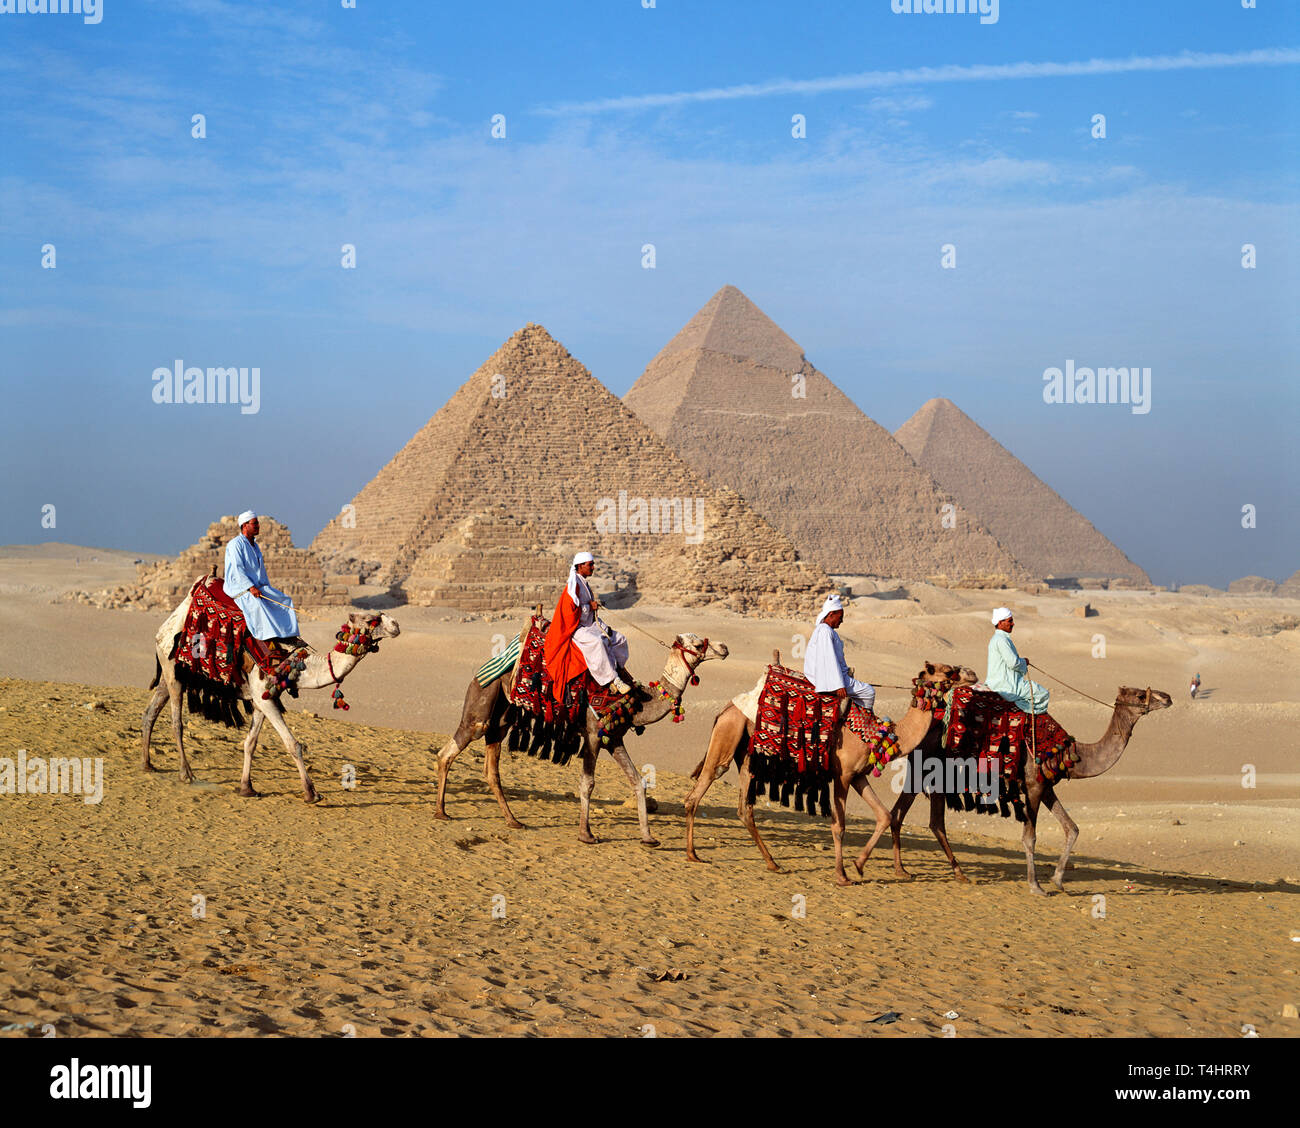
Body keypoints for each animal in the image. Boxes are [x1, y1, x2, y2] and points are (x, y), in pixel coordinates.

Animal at [141, 590, 400, 802]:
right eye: (371, 619)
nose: (396, 625)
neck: (294, 662)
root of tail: (165, 627)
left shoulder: (262, 699)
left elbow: (250, 743)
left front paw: (246, 788)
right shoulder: (264, 695)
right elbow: (293, 744)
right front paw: (311, 793)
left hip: (172, 672)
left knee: (150, 713)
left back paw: (147, 763)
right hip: (173, 673)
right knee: (176, 723)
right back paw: (186, 773)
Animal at [434, 631, 728, 846]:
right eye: (698, 643)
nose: (724, 647)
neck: (637, 701)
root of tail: (484, 669)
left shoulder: (614, 738)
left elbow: (637, 781)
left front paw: (648, 837)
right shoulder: (593, 735)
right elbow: (588, 783)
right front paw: (586, 834)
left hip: (502, 719)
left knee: (492, 769)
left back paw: (513, 820)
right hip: (482, 704)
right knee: (449, 751)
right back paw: (441, 812)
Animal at [684, 660, 977, 885]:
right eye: (949, 671)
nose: (972, 674)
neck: (880, 734)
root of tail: (726, 709)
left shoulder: (859, 775)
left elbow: (883, 815)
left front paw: (859, 865)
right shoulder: (843, 775)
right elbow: (839, 825)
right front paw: (843, 874)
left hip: (748, 757)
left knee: (744, 808)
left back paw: (772, 863)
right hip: (727, 737)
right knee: (699, 791)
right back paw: (692, 854)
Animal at [888, 685, 1172, 893]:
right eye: (1140, 695)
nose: (1168, 697)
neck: (1070, 753)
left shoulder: (1047, 787)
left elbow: (1072, 828)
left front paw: (1058, 881)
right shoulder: (1034, 786)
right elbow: (1030, 837)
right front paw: (1036, 886)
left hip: (929, 775)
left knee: (917, 818)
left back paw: (922, 871)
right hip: (930, 771)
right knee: (922, 819)